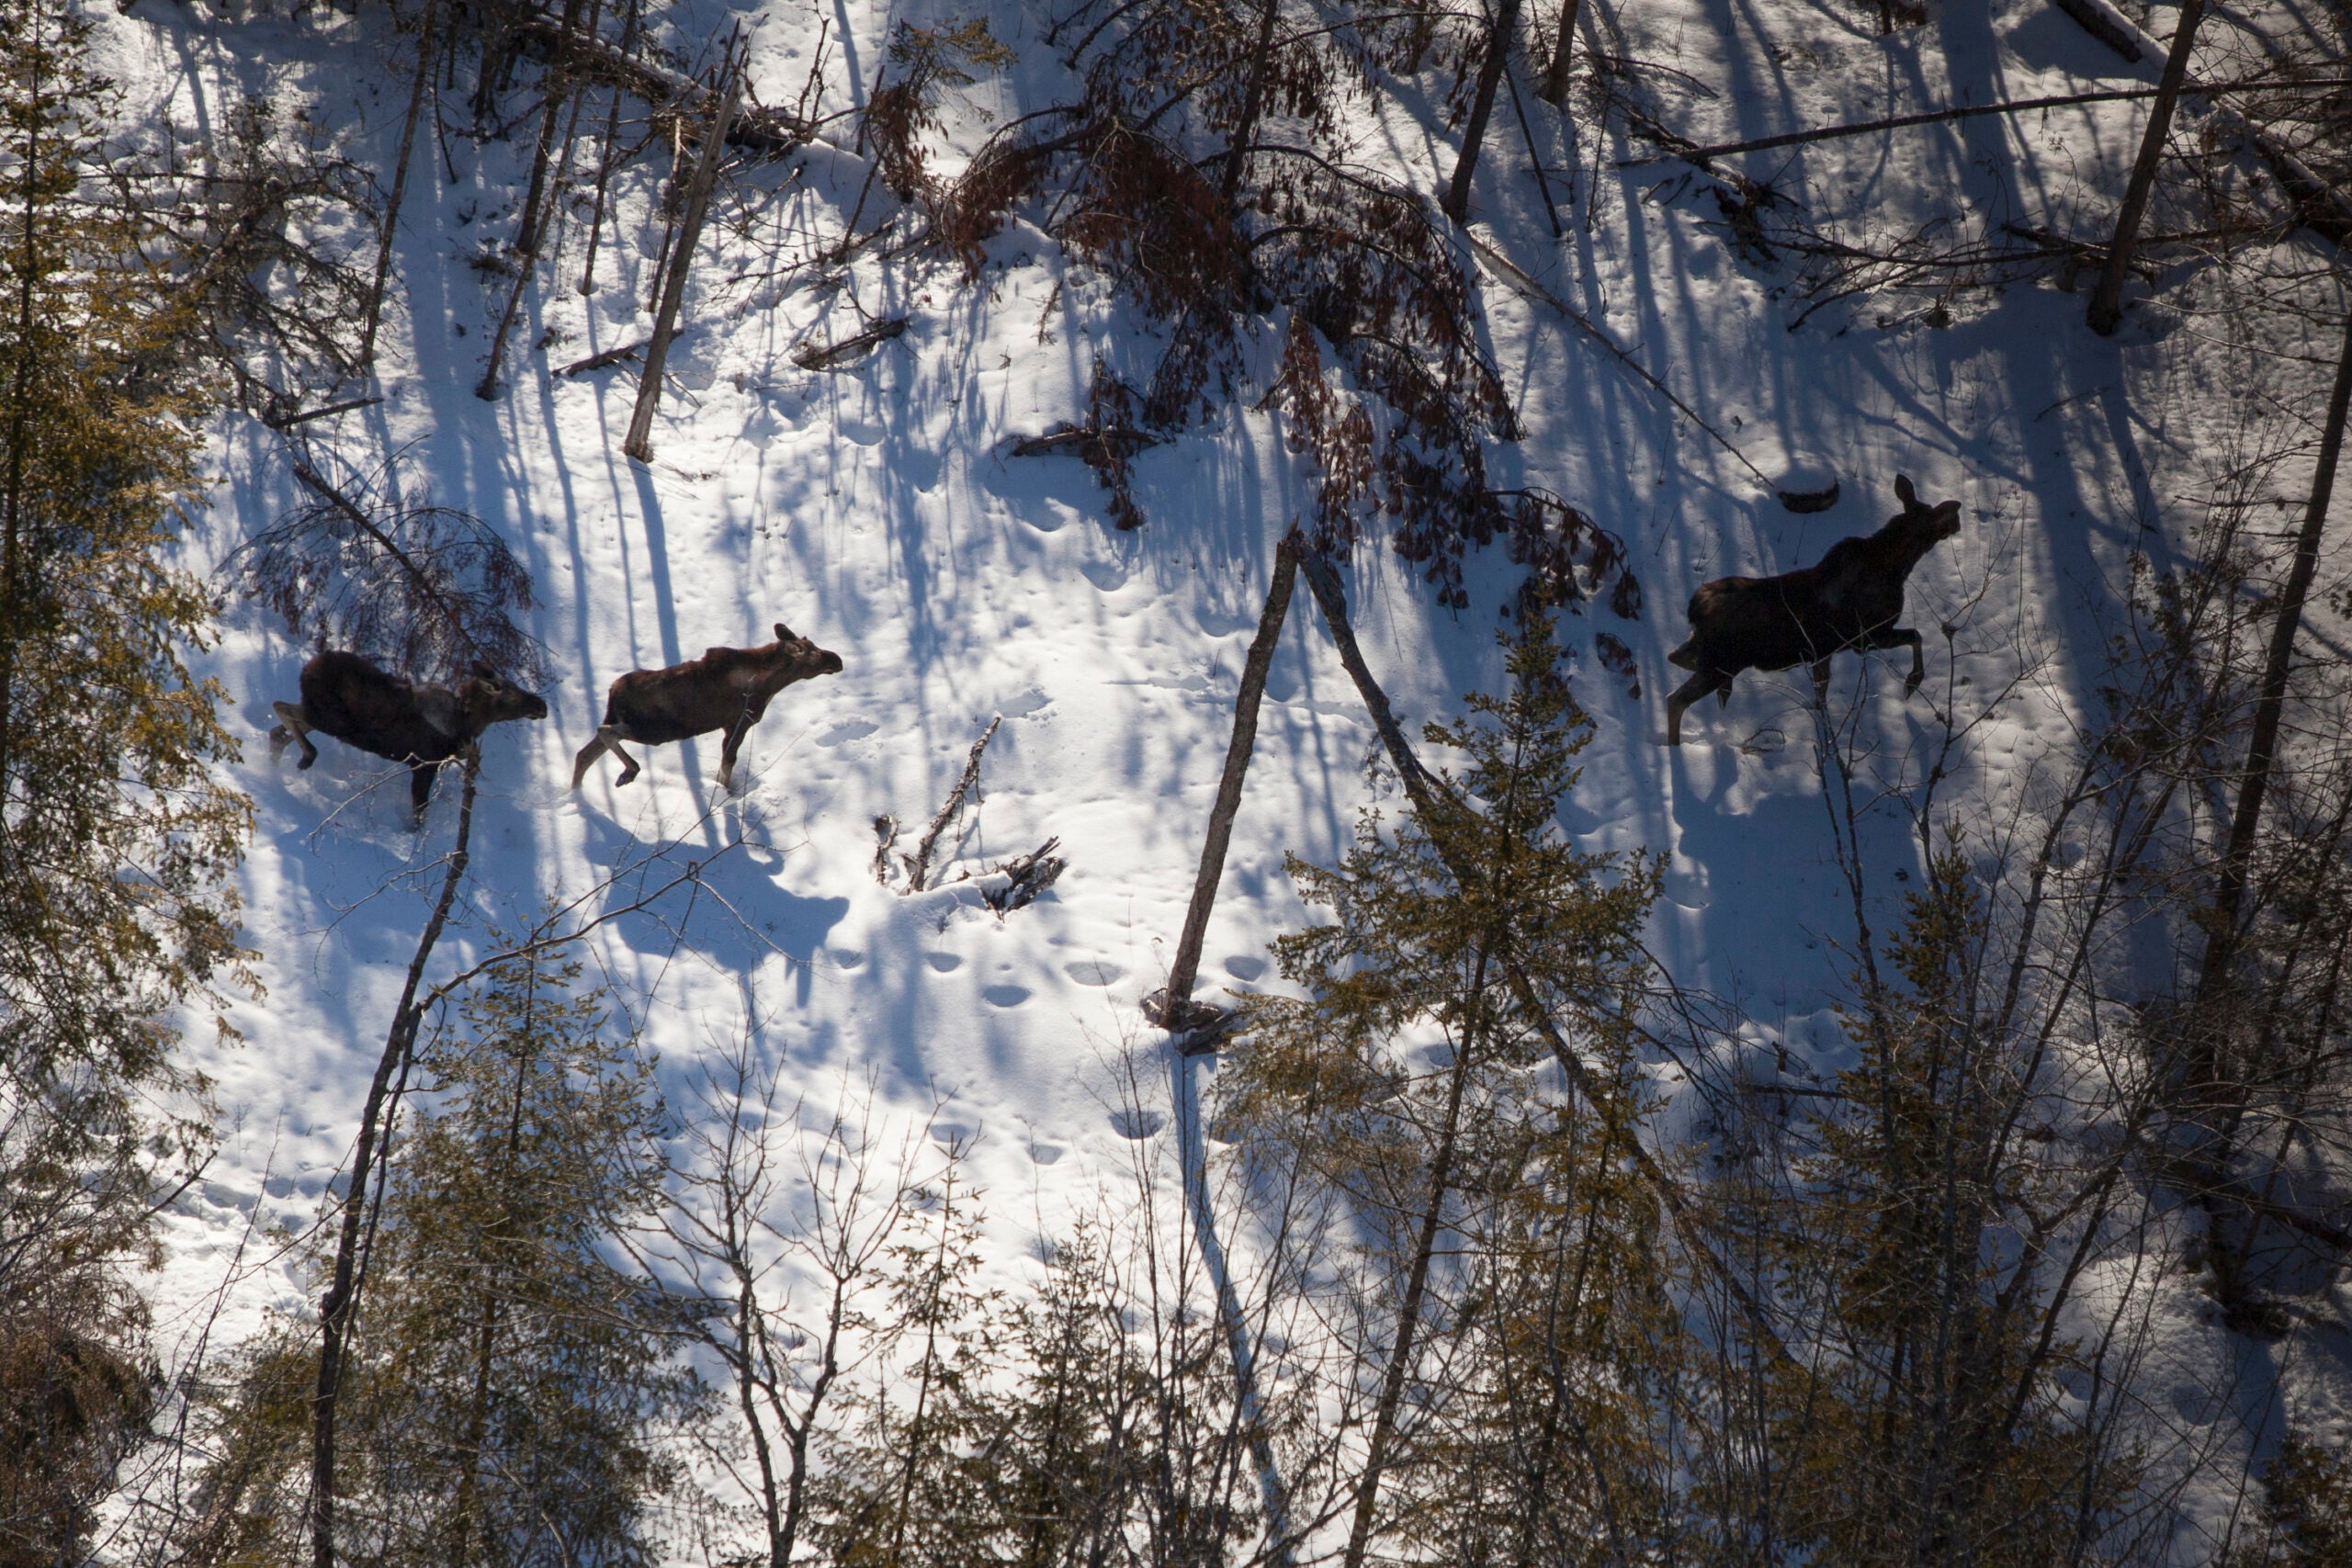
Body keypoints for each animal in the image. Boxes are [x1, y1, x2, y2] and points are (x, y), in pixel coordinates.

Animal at [270, 651, 549, 820]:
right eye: (513, 694)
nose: (542, 706)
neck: (464, 723)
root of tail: (310, 665)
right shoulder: (424, 764)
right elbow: (419, 812)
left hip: (322, 715)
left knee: (280, 722)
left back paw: (275, 759)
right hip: (332, 718)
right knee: (281, 708)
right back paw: (304, 757)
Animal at [570, 623, 845, 792]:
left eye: (815, 644)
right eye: (812, 653)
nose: (837, 659)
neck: (770, 685)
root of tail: (613, 690)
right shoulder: (739, 722)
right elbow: (728, 763)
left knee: (584, 753)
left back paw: (577, 794)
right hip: (655, 730)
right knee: (603, 732)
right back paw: (628, 772)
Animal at [1664, 474, 1962, 746]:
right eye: (1939, 516)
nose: (1956, 524)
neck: (1898, 566)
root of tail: (1695, 606)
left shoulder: (1824, 651)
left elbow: (1822, 691)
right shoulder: (1867, 637)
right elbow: (1916, 635)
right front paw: (1912, 682)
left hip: (1710, 652)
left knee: (1675, 658)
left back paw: (1721, 696)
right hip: (1722, 661)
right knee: (1675, 699)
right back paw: (1676, 745)